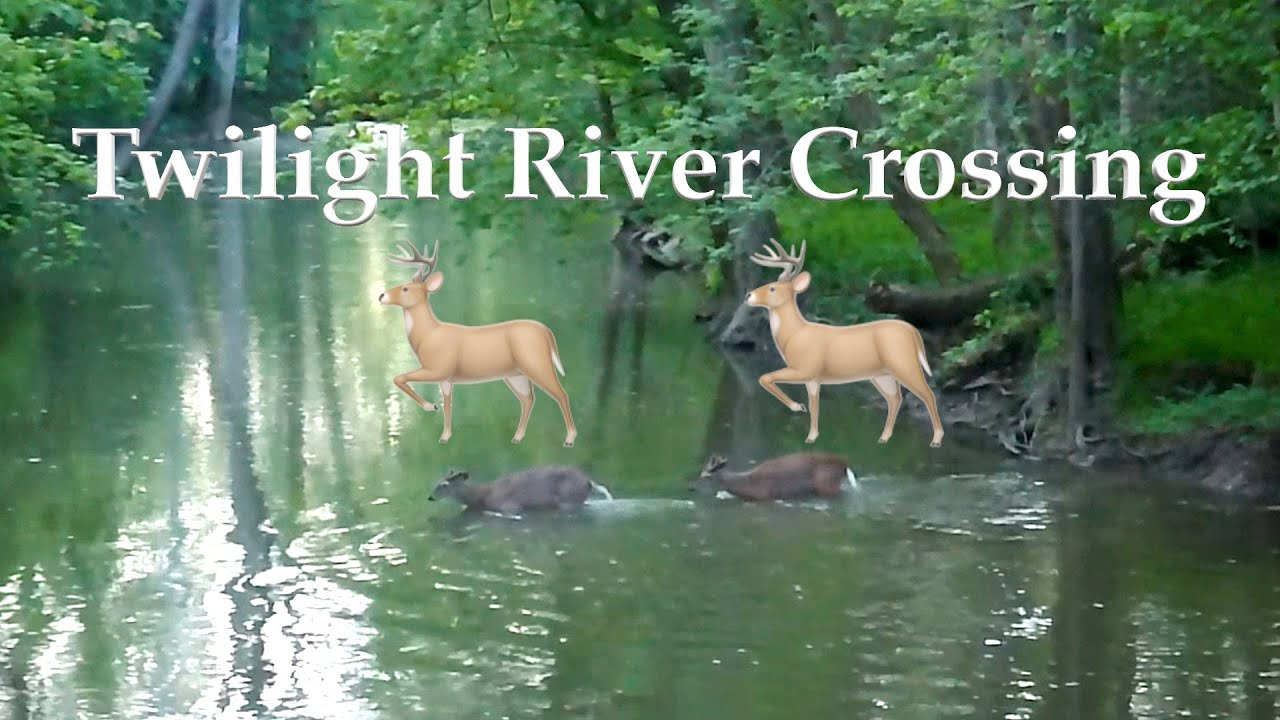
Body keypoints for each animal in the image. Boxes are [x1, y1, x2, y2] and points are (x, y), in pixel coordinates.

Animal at [378, 238, 577, 446]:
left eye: (405, 288)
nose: (381, 296)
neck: (428, 335)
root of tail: (546, 331)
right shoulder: (446, 378)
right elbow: (448, 404)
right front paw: (445, 435)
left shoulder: (438, 368)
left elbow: (399, 378)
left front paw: (431, 407)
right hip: (516, 374)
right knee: (528, 399)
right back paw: (517, 436)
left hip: (537, 362)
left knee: (561, 394)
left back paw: (569, 438)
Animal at [744, 239, 944, 447]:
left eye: (772, 287)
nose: (748, 295)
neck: (794, 335)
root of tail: (913, 331)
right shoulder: (813, 378)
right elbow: (814, 404)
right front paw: (811, 435)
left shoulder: (805, 367)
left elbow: (764, 377)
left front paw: (798, 407)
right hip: (882, 374)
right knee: (895, 398)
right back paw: (884, 437)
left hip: (903, 362)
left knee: (928, 393)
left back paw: (936, 439)